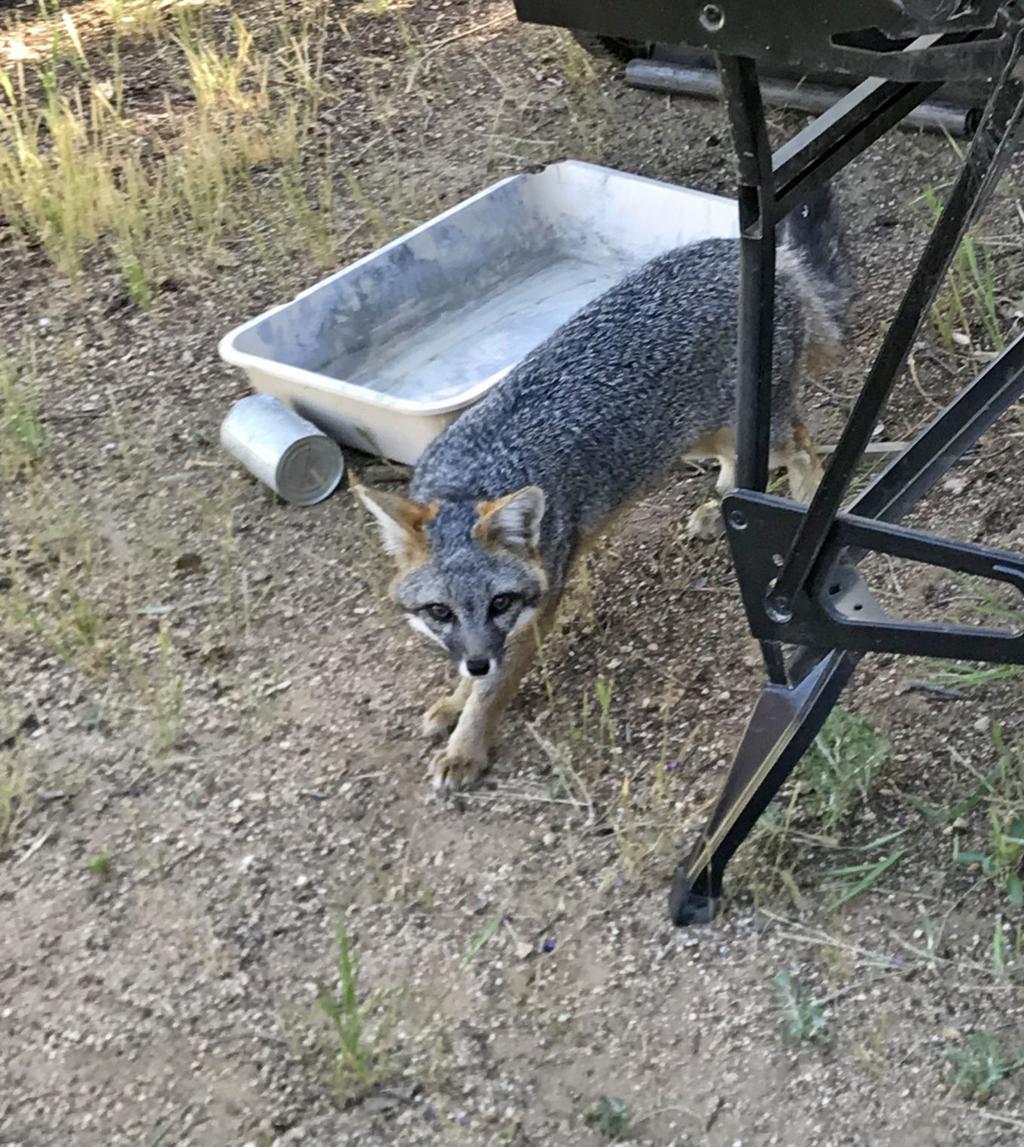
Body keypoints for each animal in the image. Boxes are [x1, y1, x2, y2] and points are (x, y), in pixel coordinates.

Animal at [355, 186, 849, 792]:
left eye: (499, 602)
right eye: (439, 612)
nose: (474, 661)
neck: (476, 474)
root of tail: (768, 259)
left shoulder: (534, 612)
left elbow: (492, 693)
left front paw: (466, 747)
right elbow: (471, 683)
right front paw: (454, 700)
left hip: (751, 429)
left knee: (803, 443)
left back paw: (801, 503)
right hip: (693, 436)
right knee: (740, 460)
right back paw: (719, 509)